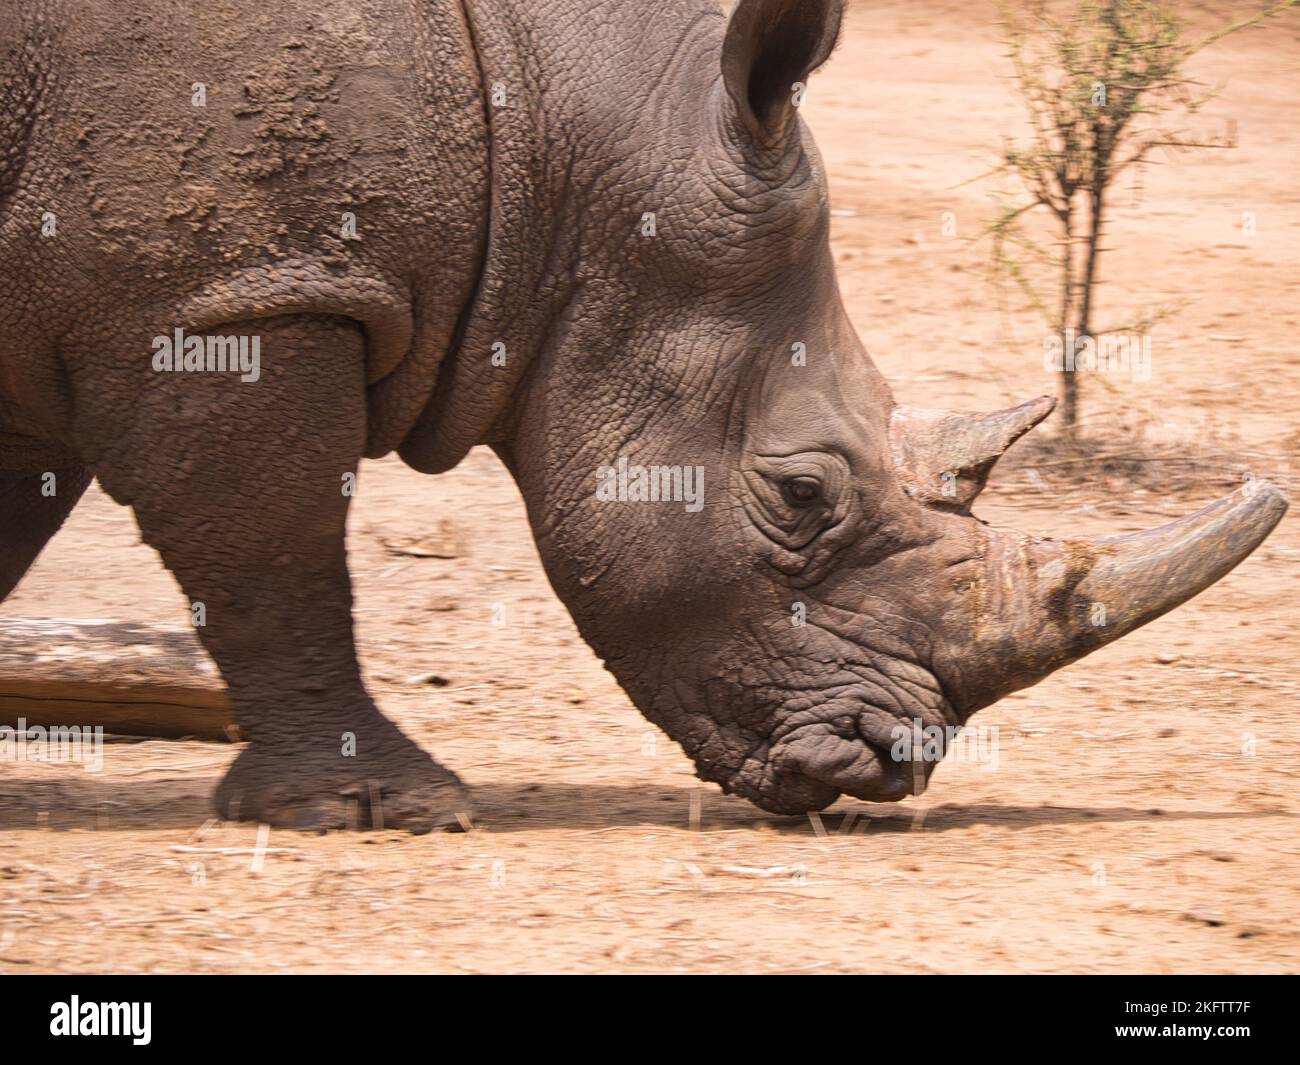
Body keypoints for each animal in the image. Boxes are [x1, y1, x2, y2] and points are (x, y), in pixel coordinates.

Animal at [0, 0, 1286, 830]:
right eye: (801, 493)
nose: (891, 766)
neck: (552, 138)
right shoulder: (240, 292)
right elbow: (278, 554)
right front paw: (379, 809)